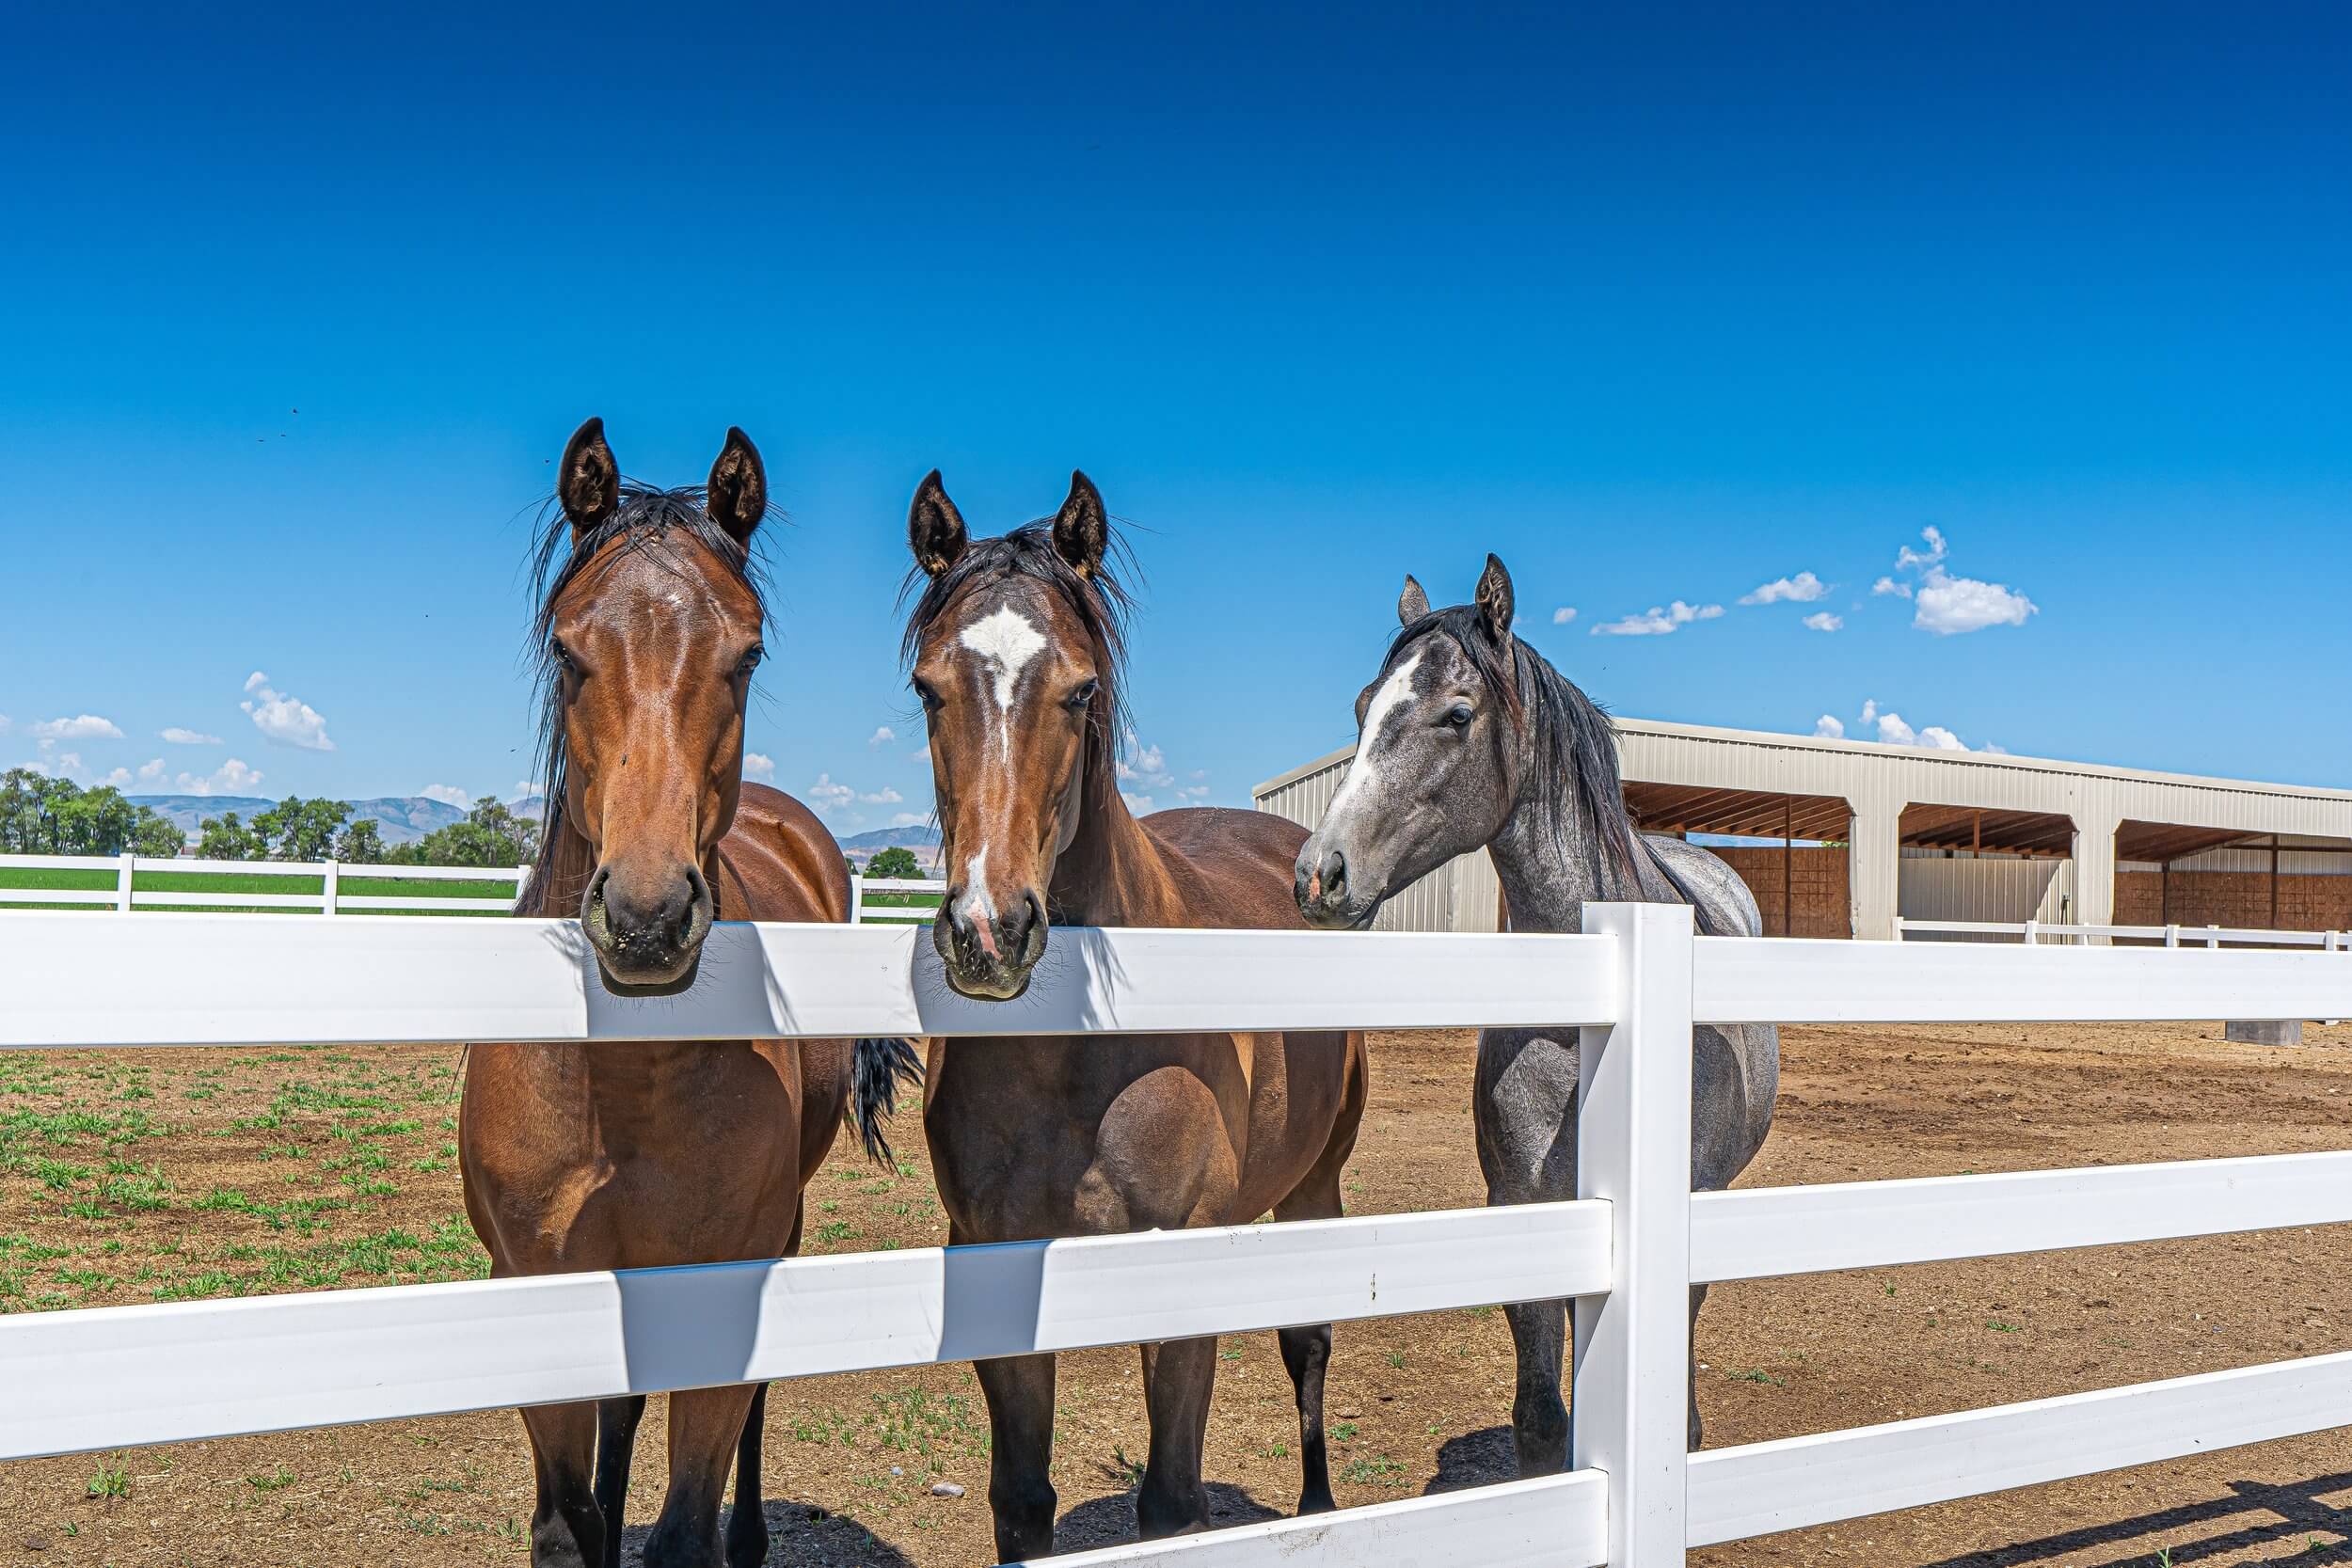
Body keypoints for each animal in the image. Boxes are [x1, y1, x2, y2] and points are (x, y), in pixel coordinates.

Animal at [460, 419, 918, 1568]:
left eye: (746, 651)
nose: (647, 914)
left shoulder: (724, 1283)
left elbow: (683, 1523)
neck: (624, 1083)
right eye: (567, 649)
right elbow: (568, 1522)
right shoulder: (539, 1291)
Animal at [898, 470, 1370, 1560]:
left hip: (1314, 1184)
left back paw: (1320, 1508)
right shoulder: (994, 1261)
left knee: (1307, 1343)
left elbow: (1169, 1501)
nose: (989, 930)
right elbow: (1020, 1499)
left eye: (1080, 691)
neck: (1080, 1061)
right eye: (929, 688)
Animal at [1292, 555, 1779, 1468]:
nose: (1319, 873)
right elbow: (1542, 1417)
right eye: (1362, 706)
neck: (1588, 1027)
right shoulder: (1521, 1203)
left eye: (1456, 713)